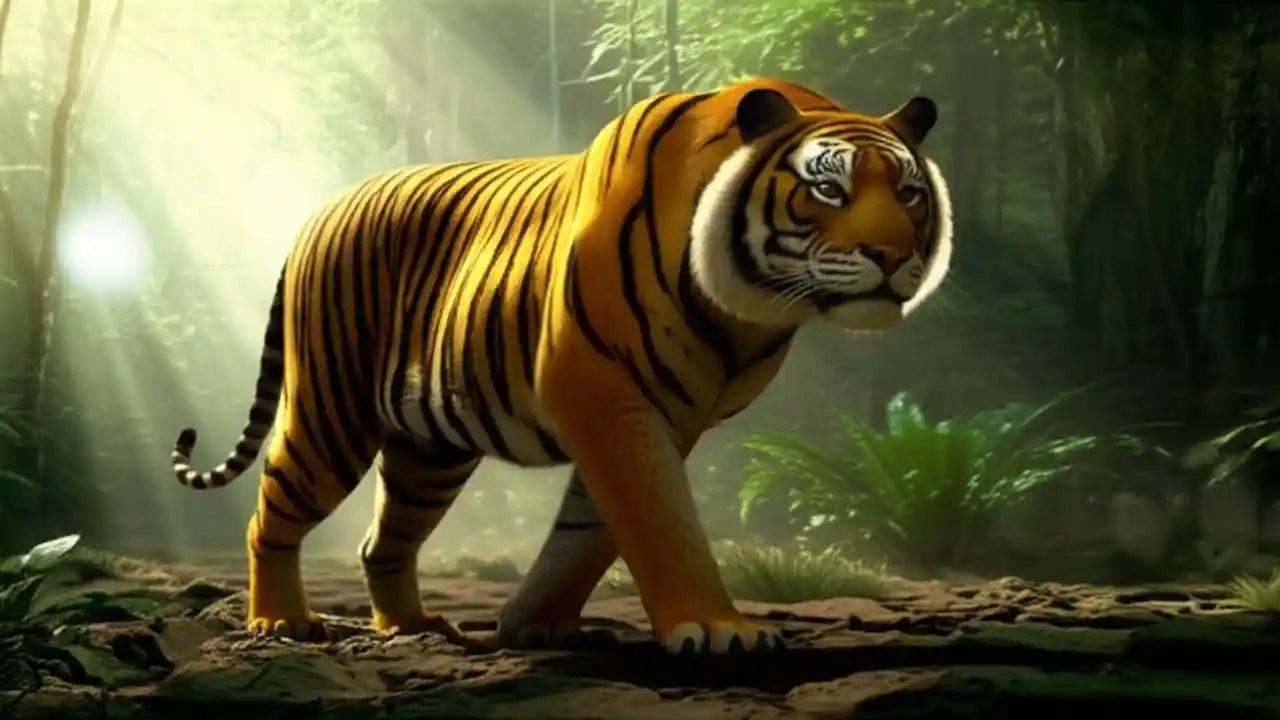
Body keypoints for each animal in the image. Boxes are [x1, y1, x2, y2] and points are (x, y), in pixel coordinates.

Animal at [169, 76, 953, 655]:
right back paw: (280, 620)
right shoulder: (604, 393)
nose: (891, 256)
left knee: (380, 541)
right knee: (274, 508)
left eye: (910, 192)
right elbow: (656, 518)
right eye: (828, 189)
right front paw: (718, 628)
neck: (749, 309)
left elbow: (587, 531)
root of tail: (320, 212)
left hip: (430, 450)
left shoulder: (668, 411)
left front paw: (533, 622)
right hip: (333, 411)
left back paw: (413, 627)